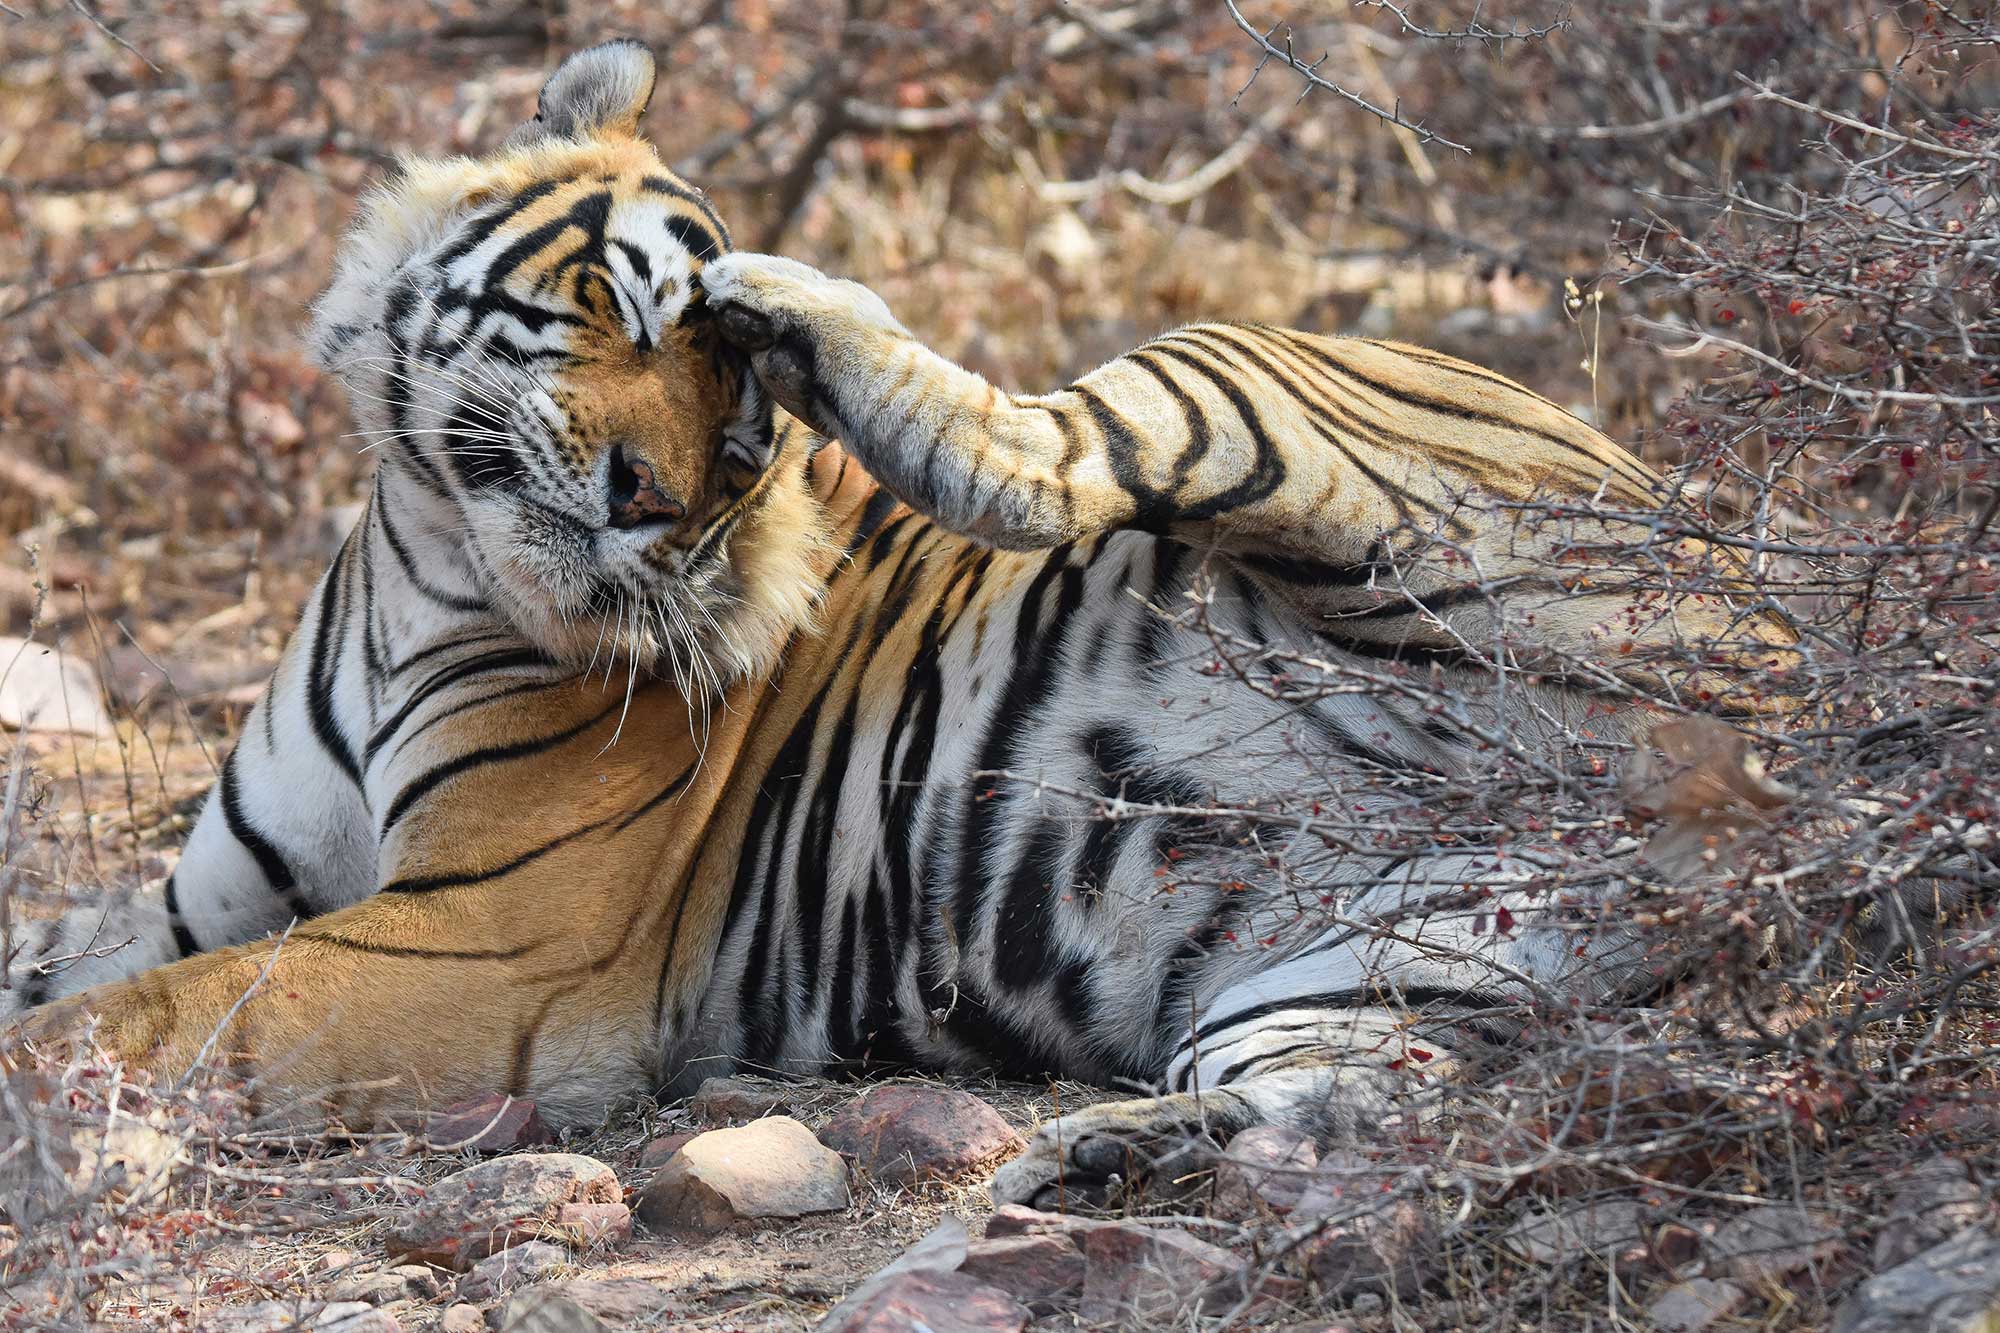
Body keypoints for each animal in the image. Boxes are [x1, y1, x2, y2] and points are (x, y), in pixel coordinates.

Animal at [4, 38, 1795, 1211]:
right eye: (619, 314)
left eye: (741, 440)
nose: (656, 497)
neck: (422, 552)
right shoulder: (204, 892)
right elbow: (64, 962)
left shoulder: (486, 939)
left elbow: (135, 1022)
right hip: (1374, 976)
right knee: (1373, 1114)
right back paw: (1108, 1155)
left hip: (1268, 379)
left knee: (1060, 449)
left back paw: (813, 305)